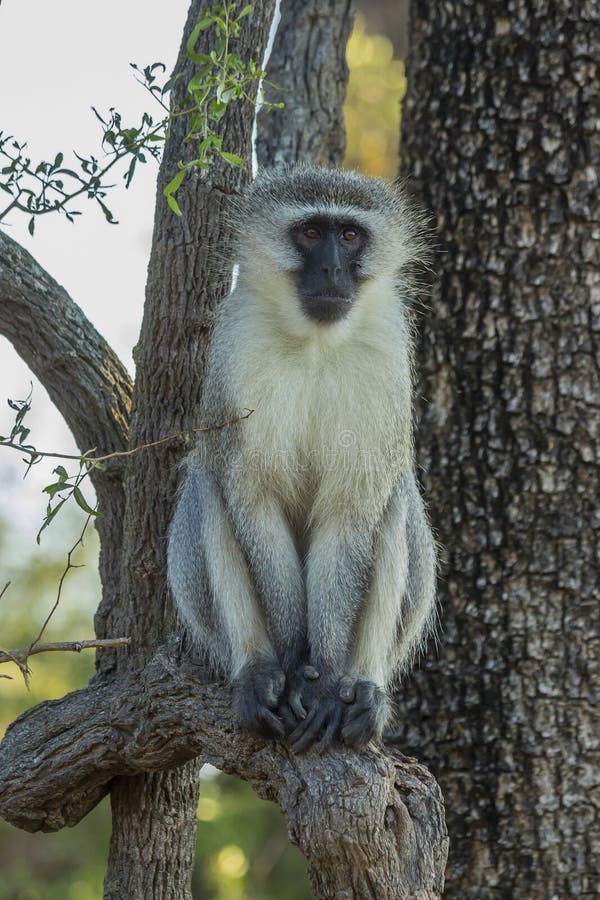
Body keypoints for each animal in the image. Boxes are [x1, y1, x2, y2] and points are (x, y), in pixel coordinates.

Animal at [167, 165, 436, 753]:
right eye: (311, 233)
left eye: (350, 235)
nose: (333, 268)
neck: (316, 343)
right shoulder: (236, 349)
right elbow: (252, 499)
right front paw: (291, 663)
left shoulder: (386, 357)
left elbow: (352, 514)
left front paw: (328, 679)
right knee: (210, 481)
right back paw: (258, 672)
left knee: (394, 496)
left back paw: (365, 690)